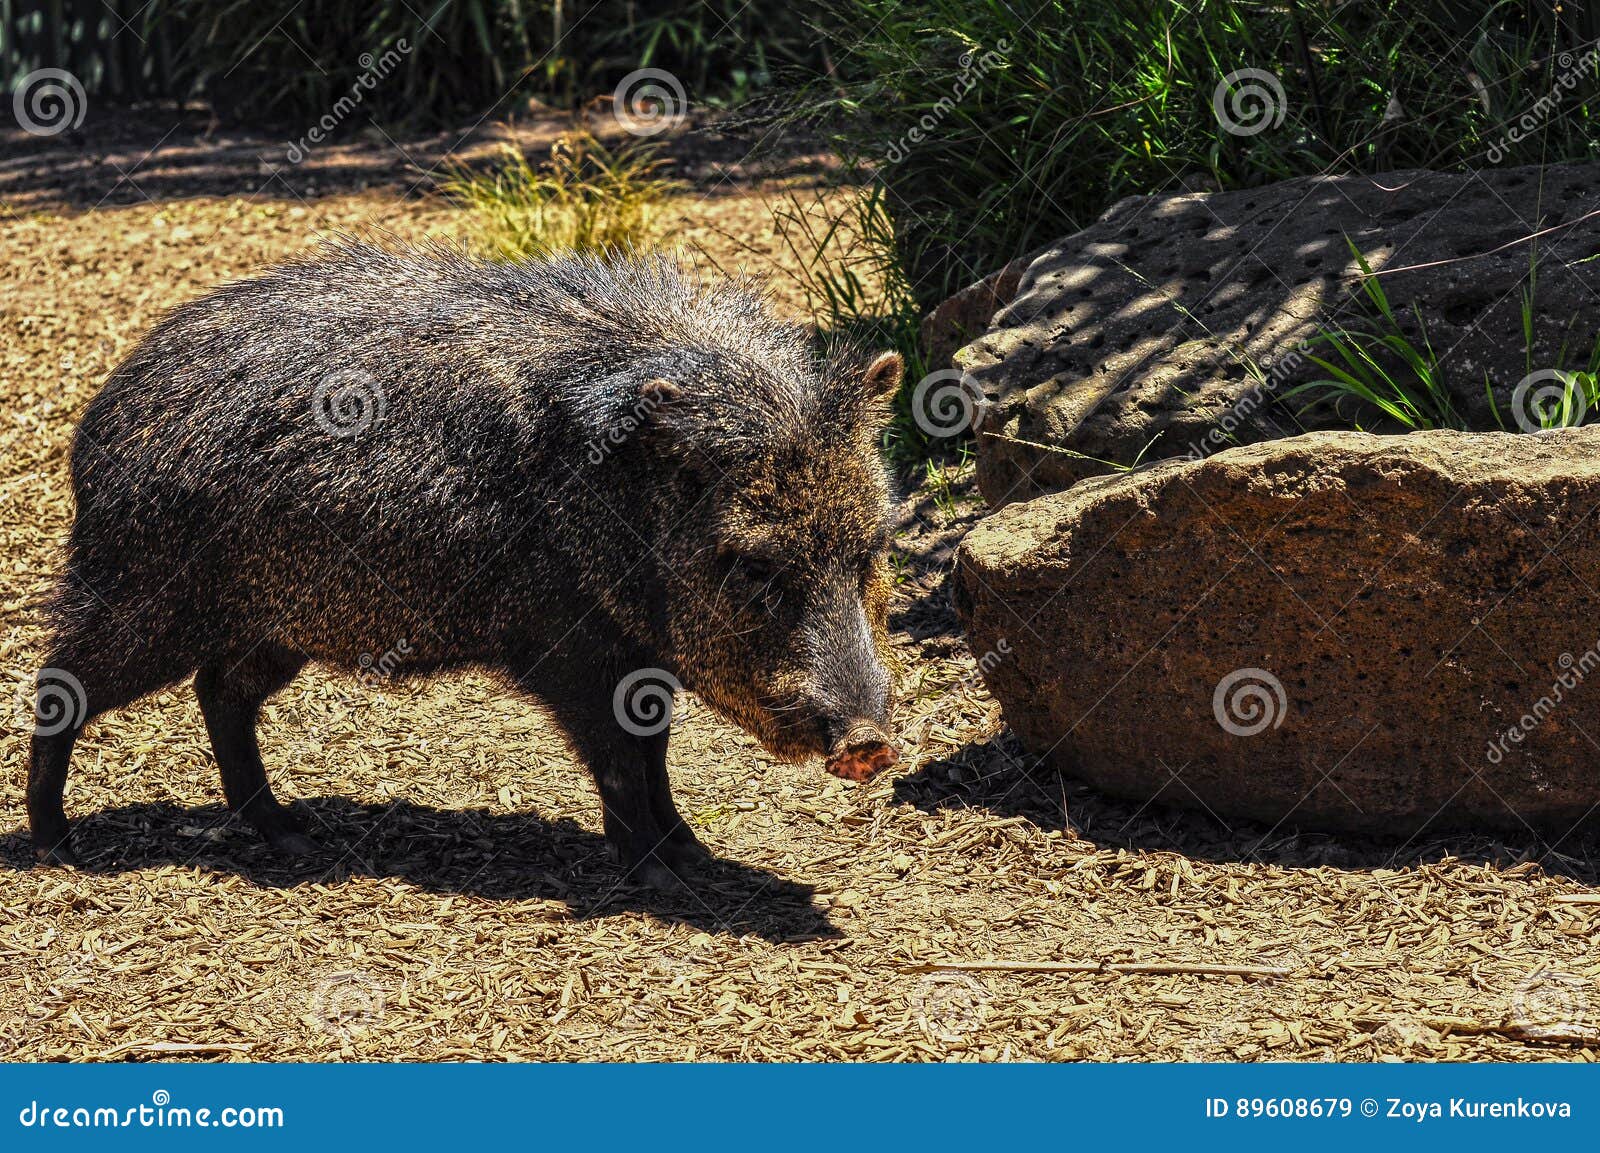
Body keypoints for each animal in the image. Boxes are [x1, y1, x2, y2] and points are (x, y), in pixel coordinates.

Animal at [27, 241, 903, 887]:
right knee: (62, 681)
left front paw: (695, 854)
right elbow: (620, 760)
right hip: (145, 599)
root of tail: (100, 422)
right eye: (752, 566)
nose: (870, 742)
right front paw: (656, 876)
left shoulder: (639, 651)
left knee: (220, 694)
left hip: (278, 624)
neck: (613, 493)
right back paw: (54, 842)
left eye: (869, 551)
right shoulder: (570, 650)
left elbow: (653, 755)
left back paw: (292, 833)